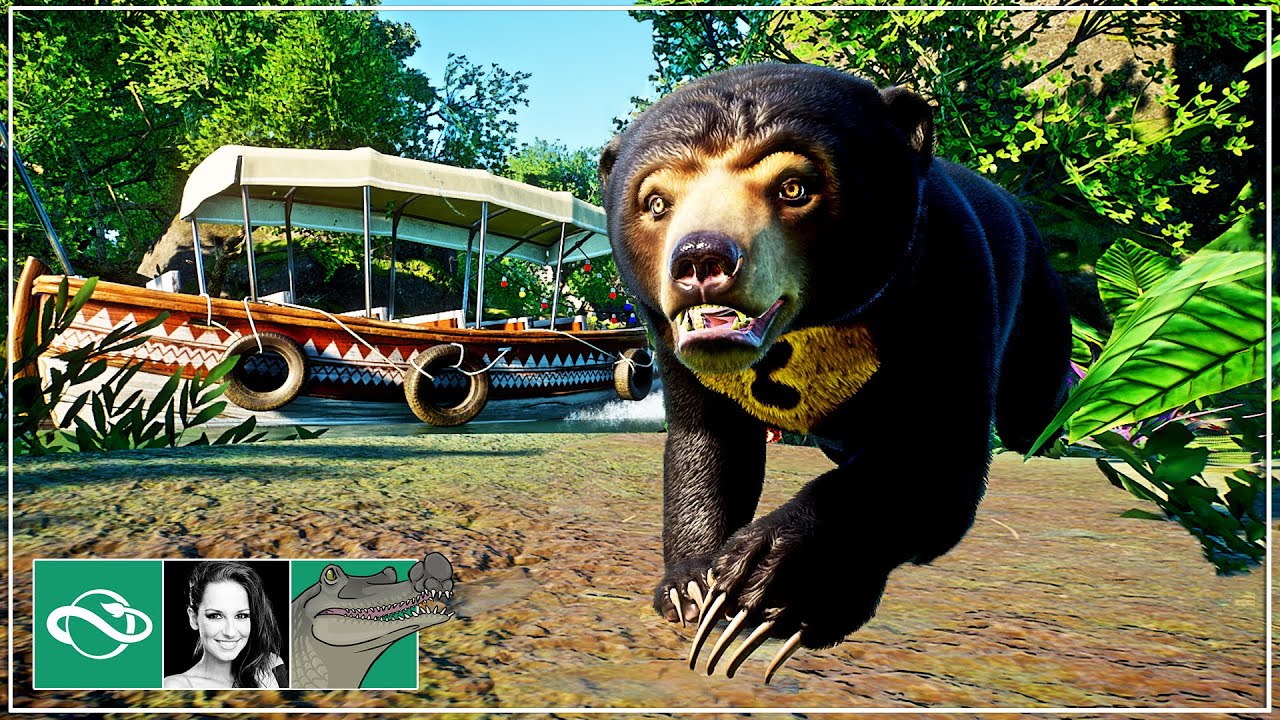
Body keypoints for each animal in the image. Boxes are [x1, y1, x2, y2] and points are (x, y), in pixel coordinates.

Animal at [599, 63, 1072, 682]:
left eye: (793, 187)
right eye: (656, 202)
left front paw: (769, 587)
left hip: (1036, 297)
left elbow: (937, 460)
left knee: (1031, 405)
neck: (805, 335)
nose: (701, 259)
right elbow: (708, 444)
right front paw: (691, 587)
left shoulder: (949, 278)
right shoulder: (673, 340)